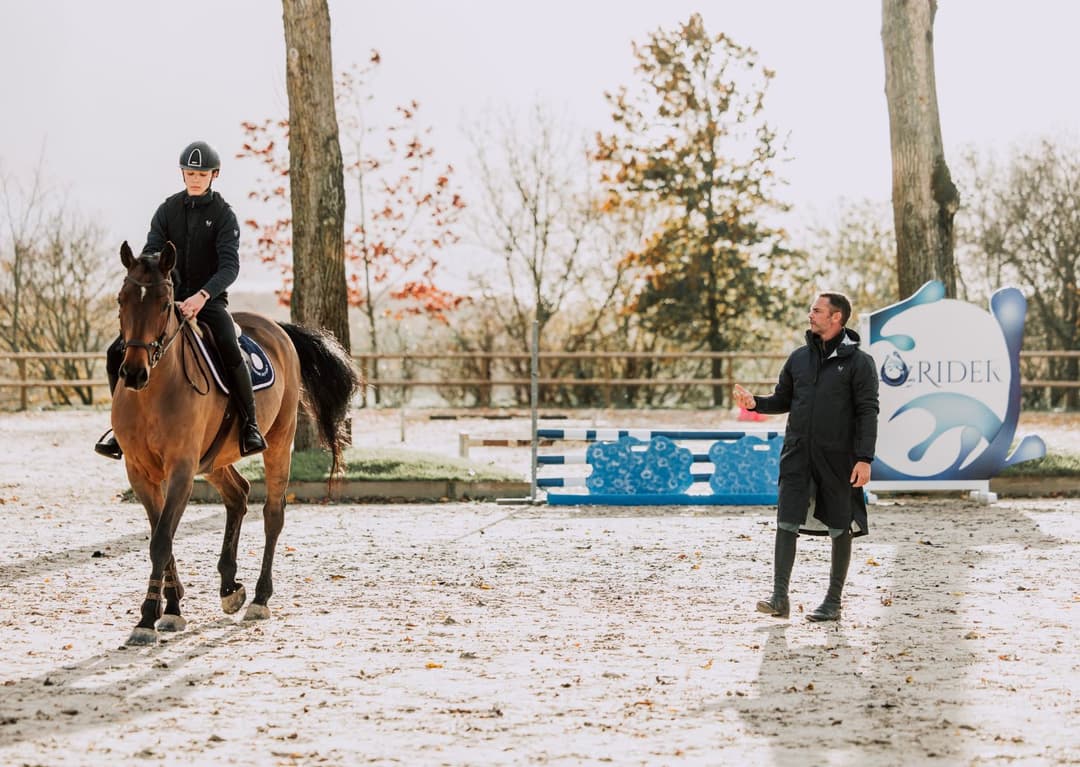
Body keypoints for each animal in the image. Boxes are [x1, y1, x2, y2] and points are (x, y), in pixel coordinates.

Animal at [112, 240, 360, 646]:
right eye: (122, 299)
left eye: (164, 304)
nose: (133, 373)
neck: (153, 392)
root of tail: (277, 329)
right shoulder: (140, 473)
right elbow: (161, 538)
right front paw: (172, 609)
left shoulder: (181, 470)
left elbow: (161, 540)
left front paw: (148, 618)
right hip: (214, 461)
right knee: (238, 494)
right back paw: (230, 587)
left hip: (279, 443)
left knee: (273, 514)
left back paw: (259, 597)